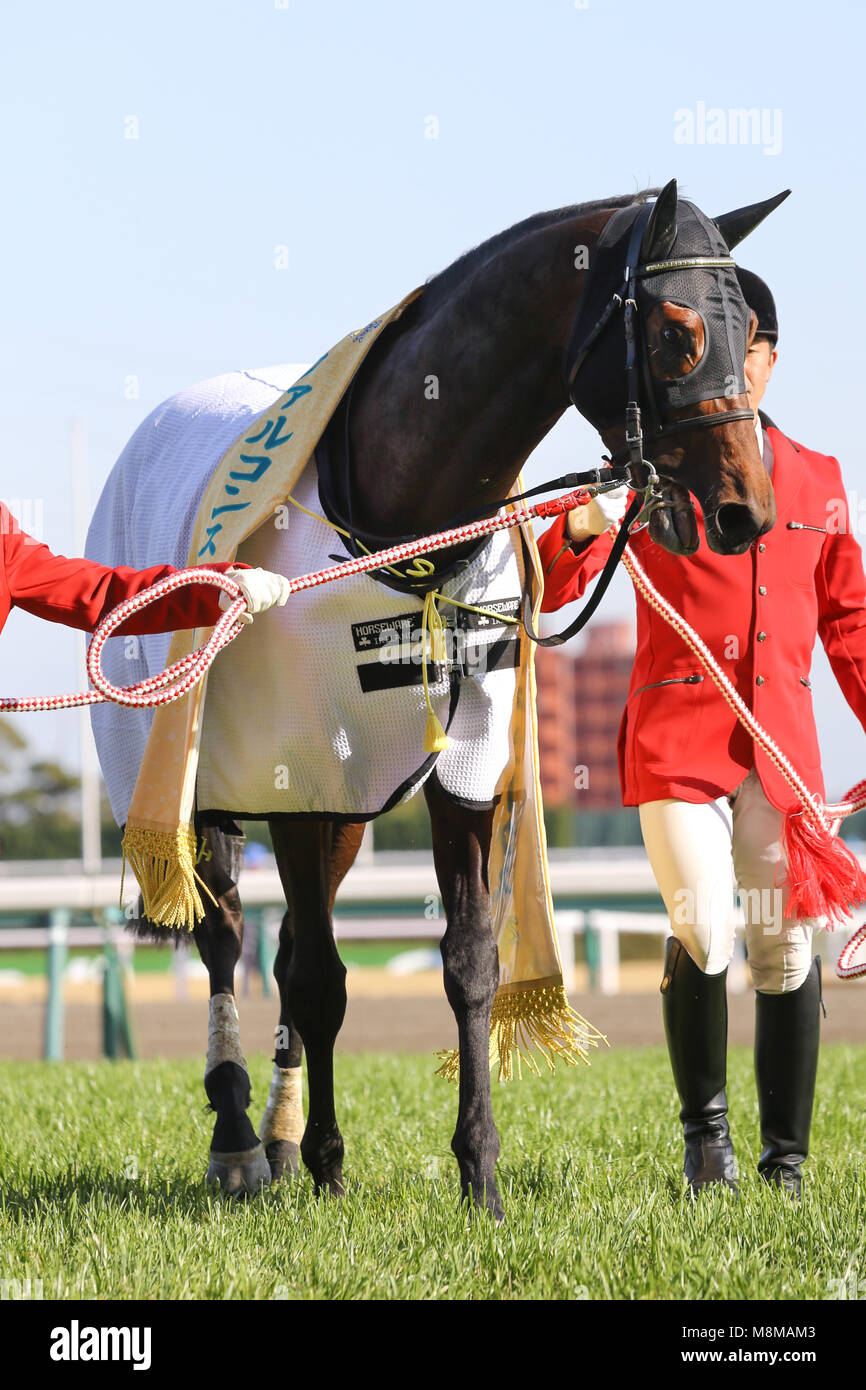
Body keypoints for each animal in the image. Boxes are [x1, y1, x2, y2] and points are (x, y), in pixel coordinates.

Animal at [89, 180, 785, 1220]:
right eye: (676, 332)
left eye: (746, 326)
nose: (747, 511)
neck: (403, 519)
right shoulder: (299, 773)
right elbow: (318, 975)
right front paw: (329, 1158)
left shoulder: (462, 766)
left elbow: (468, 965)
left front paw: (478, 1173)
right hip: (195, 778)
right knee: (226, 933)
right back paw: (242, 1139)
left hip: (347, 806)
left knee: (284, 943)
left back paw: (282, 1135)